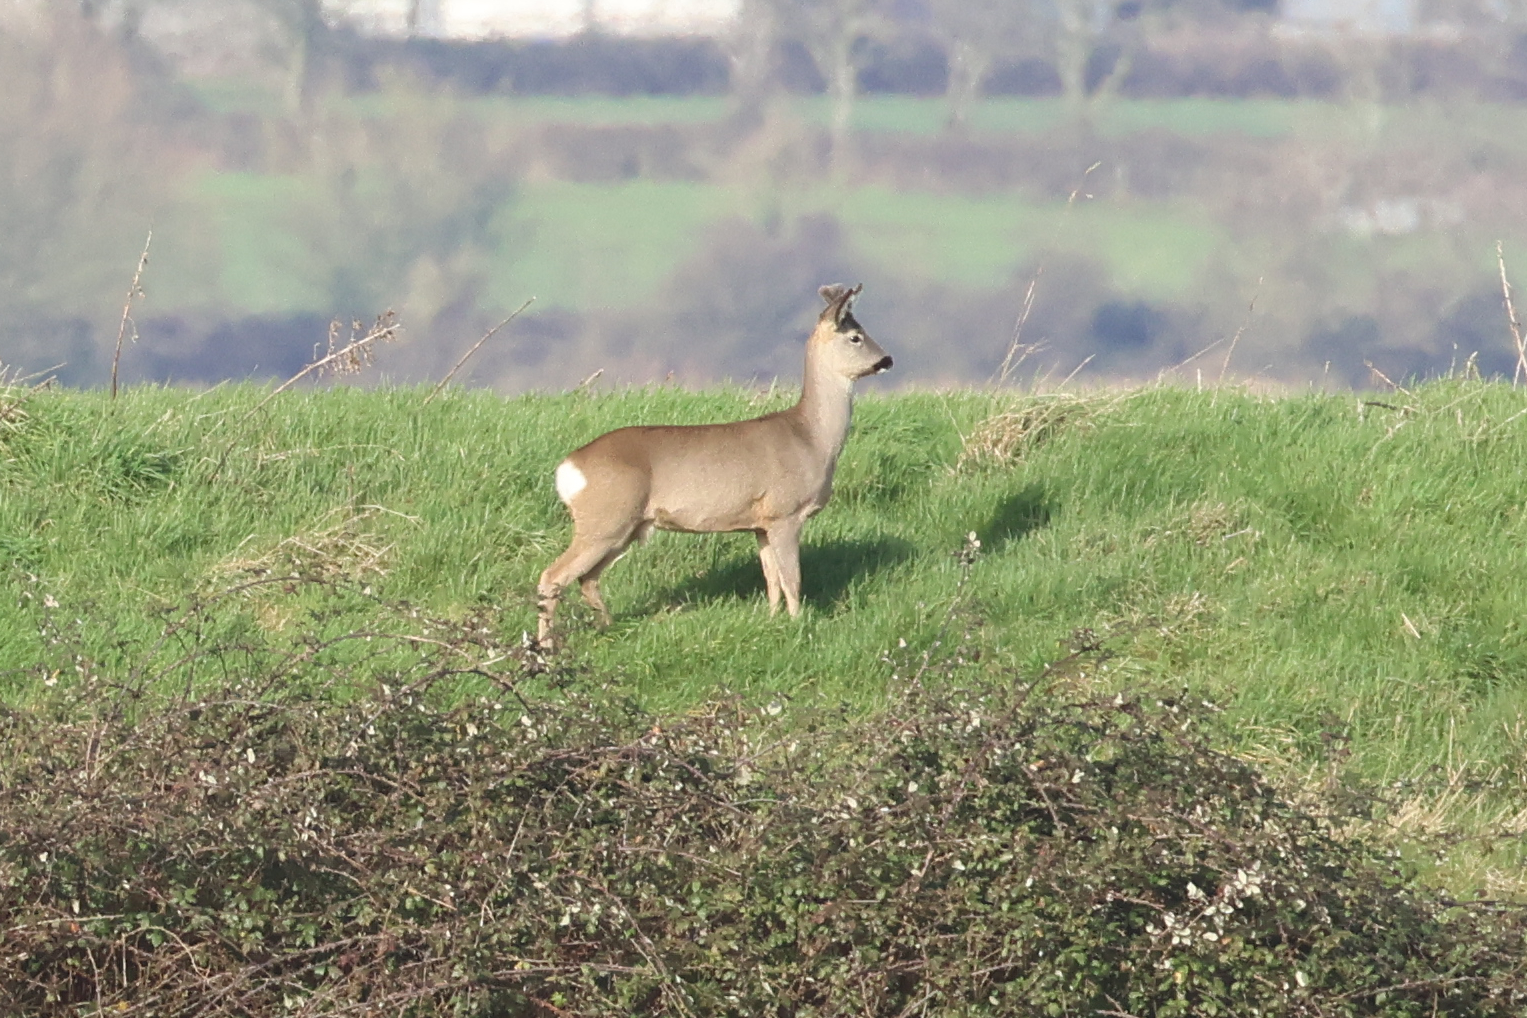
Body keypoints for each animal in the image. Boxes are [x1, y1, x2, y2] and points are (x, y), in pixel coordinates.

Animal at [536, 283, 893, 648]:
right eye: (856, 336)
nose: (886, 360)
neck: (811, 438)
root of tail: (568, 468)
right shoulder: (785, 512)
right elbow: (792, 578)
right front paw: (799, 626)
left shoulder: (760, 524)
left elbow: (771, 579)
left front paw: (771, 621)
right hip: (605, 519)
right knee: (552, 575)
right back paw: (546, 645)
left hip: (624, 526)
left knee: (587, 578)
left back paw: (607, 627)